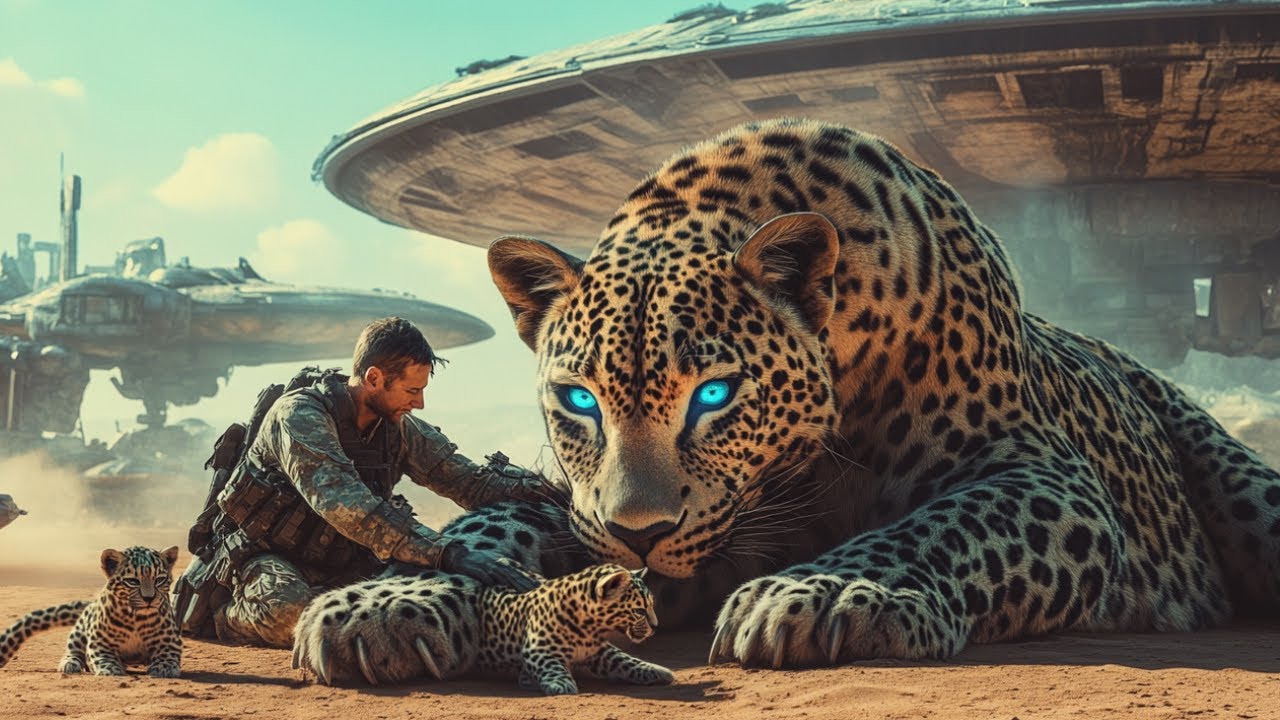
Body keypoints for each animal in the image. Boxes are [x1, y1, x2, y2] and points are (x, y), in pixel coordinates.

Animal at [0, 545, 182, 677]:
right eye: (132, 581)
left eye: (159, 580)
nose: (149, 598)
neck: (135, 618)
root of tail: (90, 604)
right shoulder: (99, 643)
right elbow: (102, 658)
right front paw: (110, 669)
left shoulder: (170, 642)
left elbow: (168, 656)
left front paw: (164, 668)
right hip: (79, 632)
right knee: (72, 649)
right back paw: (70, 664)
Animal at [293, 559, 673, 695]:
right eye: (639, 610)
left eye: (651, 606)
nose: (656, 626)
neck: (588, 626)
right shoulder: (540, 649)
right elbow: (553, 666)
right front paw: (559, 685)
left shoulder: (598, 651)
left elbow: (623, 659)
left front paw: (656, 670)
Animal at [295, 117, 1280, 681]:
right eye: (577, 400)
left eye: (715, 393)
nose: (639, 536)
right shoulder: (589, 507)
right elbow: (491, 524)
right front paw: (381, 603)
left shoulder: (1041, 475)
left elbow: (941, 527)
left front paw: (829, 590)